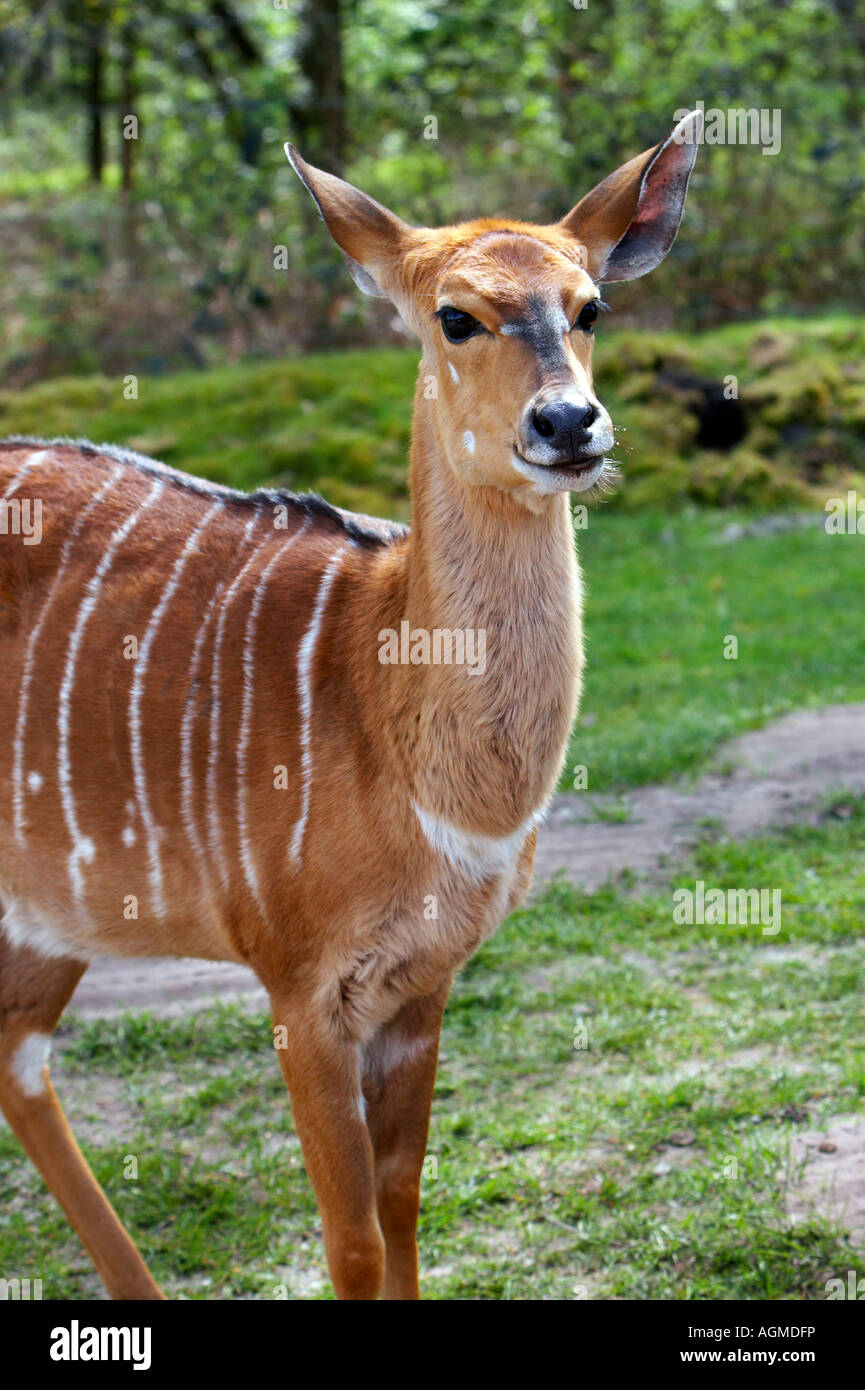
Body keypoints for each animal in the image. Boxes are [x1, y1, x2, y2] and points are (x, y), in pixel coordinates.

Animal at [0, 110, 701, 1300]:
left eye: (589, 306)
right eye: (454, 315)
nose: (569, 423)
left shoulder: (421, 987)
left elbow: (406, 1206)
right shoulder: (298, 984)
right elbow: (352, 1239)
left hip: (45, 915)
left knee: (17, 1056)